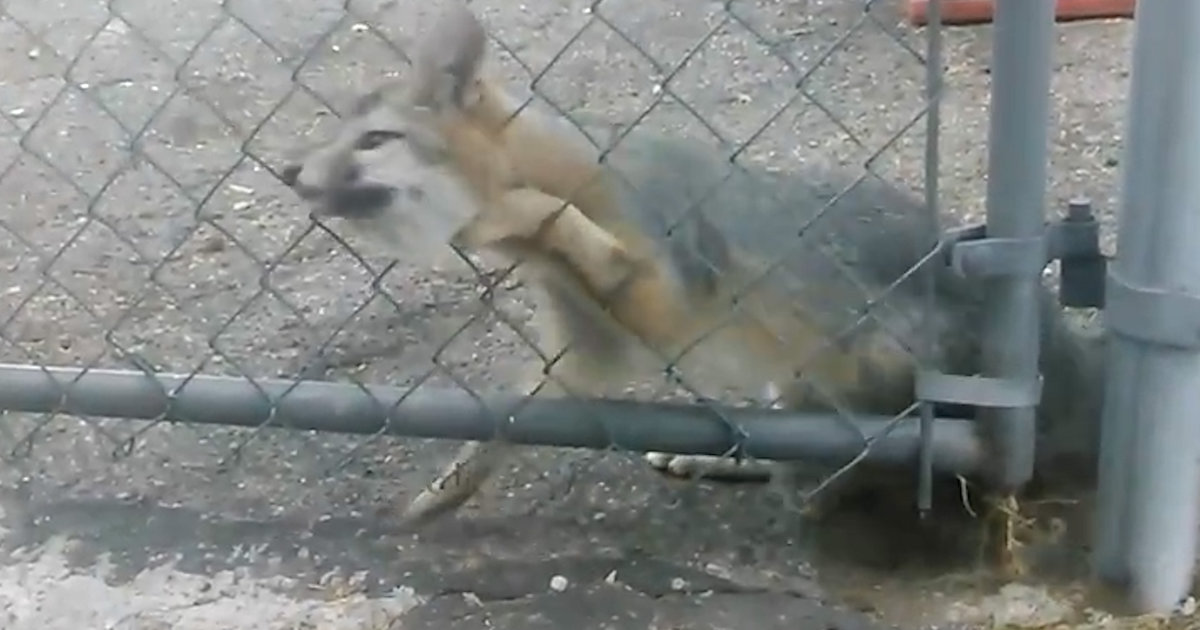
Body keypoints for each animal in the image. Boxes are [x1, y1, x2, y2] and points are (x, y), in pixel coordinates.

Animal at [280, 1, 1107, 527]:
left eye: (373, 141)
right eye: (339, 135)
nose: (287, 171)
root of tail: (1059, 342)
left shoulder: (661, 288)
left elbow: (550, 216)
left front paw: (506, 212)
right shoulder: (585, 353)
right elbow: (505, 422)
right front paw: (449, 489)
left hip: (859, 373)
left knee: (833, 478)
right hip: (793, 386)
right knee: (785, 444)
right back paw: (720, 460)